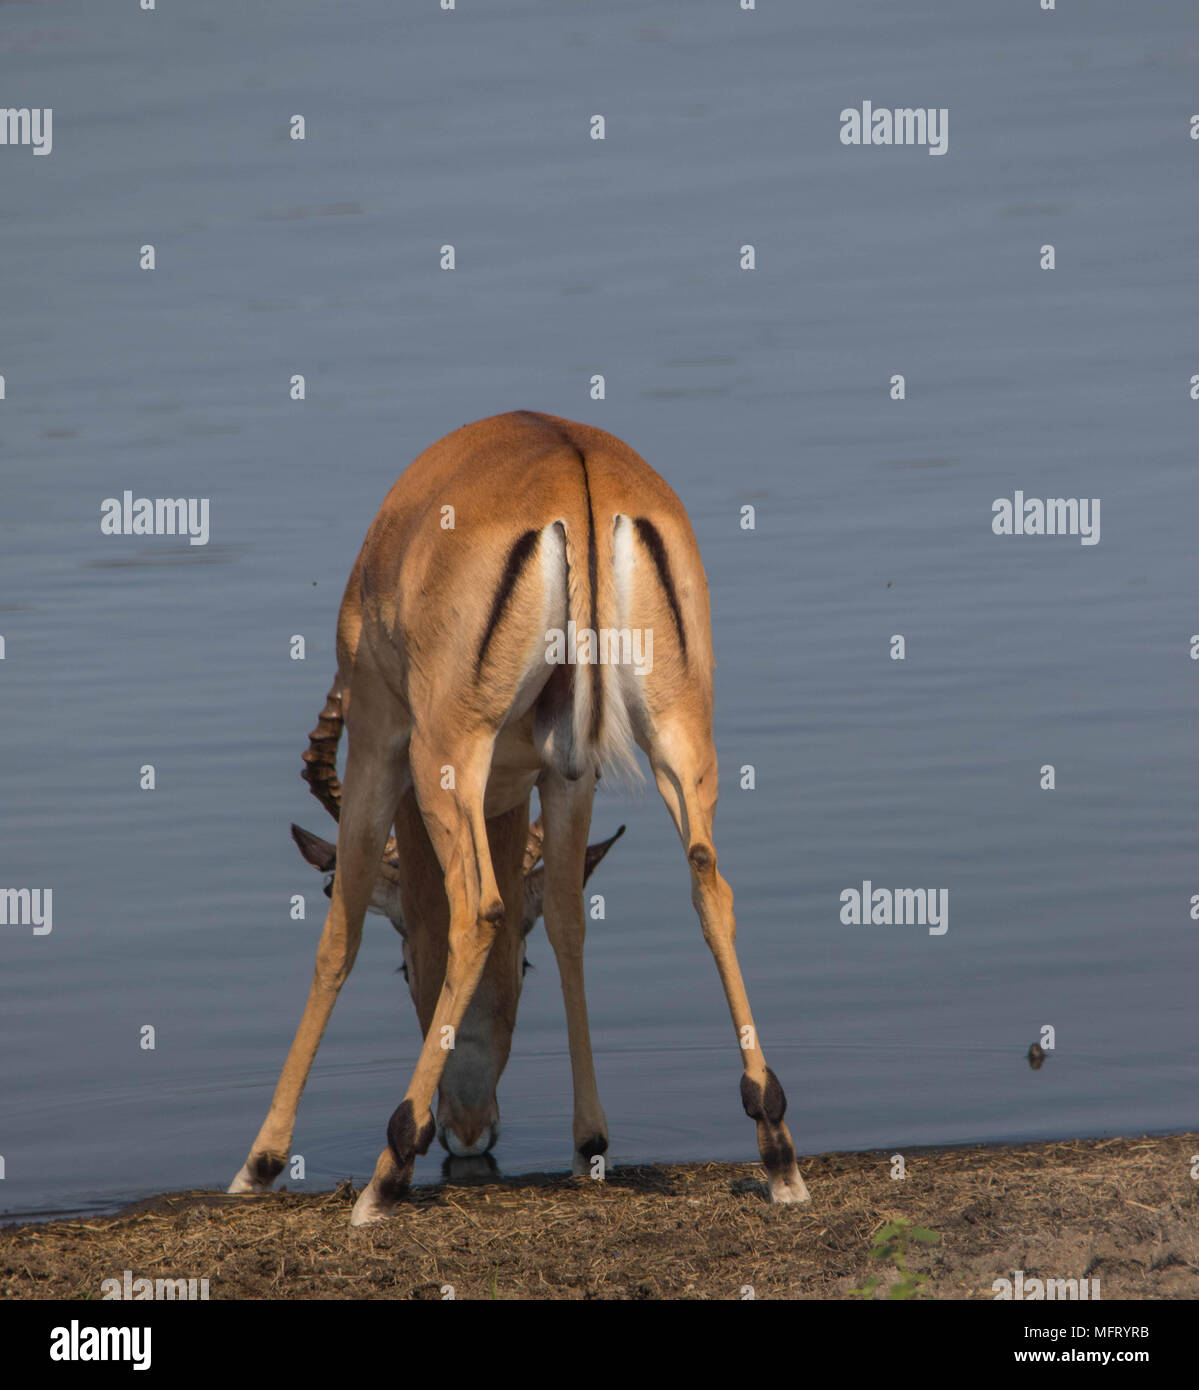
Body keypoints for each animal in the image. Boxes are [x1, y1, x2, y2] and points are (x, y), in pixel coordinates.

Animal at [229, 410, 809, 1224]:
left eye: (404, 963)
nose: (470, 1130)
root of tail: (577, 465)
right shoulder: (568, 774)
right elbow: (567, 920)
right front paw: (590, 1143)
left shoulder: (379, 740)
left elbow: (337, 937)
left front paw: (258, 1164)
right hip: (678, 734)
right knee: (710, 886)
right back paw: (779, 1154)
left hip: (446, 754)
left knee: (477, 909)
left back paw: (384, 1175)